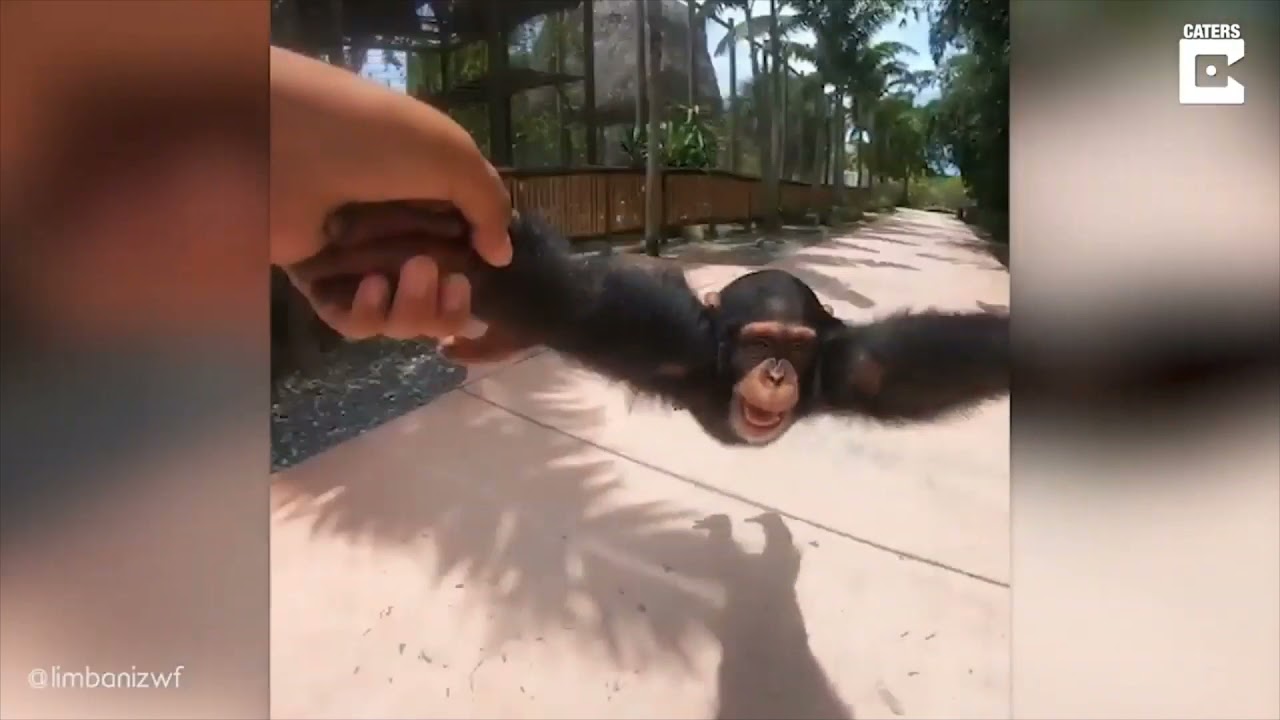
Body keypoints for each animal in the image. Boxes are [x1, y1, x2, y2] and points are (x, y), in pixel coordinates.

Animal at [288, 200, 1010, 447]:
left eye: (798, 351)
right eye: (759, 345)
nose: (779, 373)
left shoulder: (853, 368)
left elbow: (925, 363)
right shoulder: (669, 339)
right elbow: (568, 298)